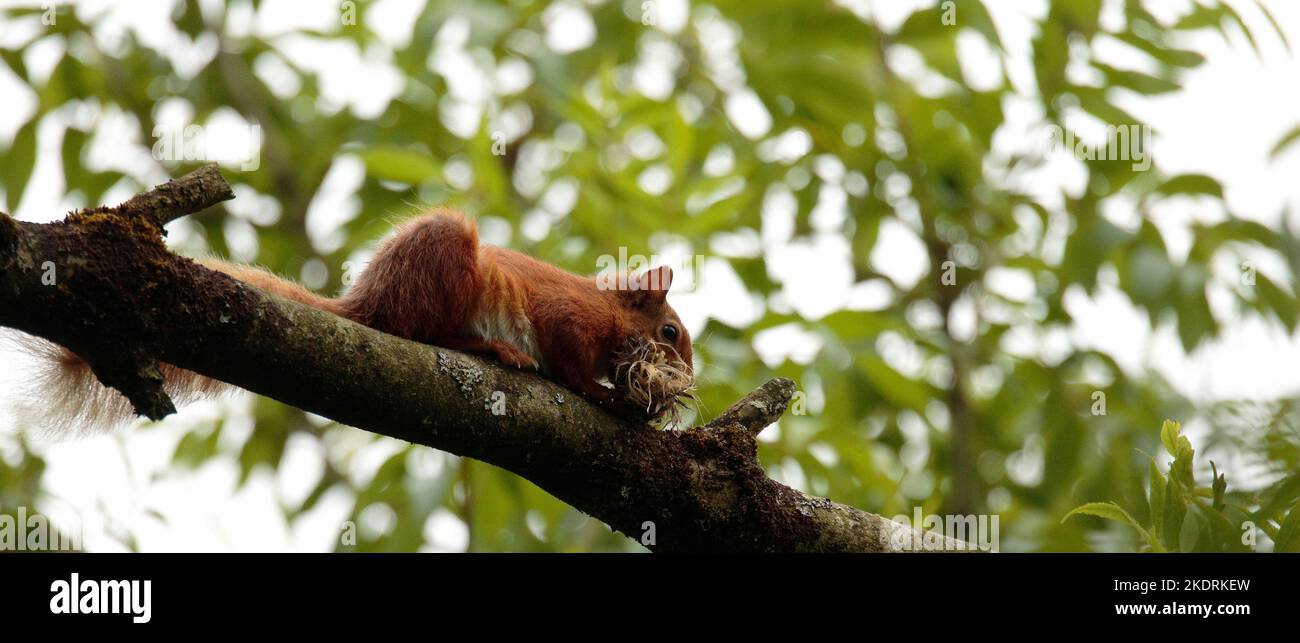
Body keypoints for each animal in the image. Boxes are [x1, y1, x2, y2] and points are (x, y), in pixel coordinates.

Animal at [15, 210, 695, 434]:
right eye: (670, 334)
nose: (688, 379)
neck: (608, 309)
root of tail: (363, 304)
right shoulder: (567, 319)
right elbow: (571, 365)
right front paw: (608, 394)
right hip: (442, 268)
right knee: (418, 331)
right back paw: (495, 350)